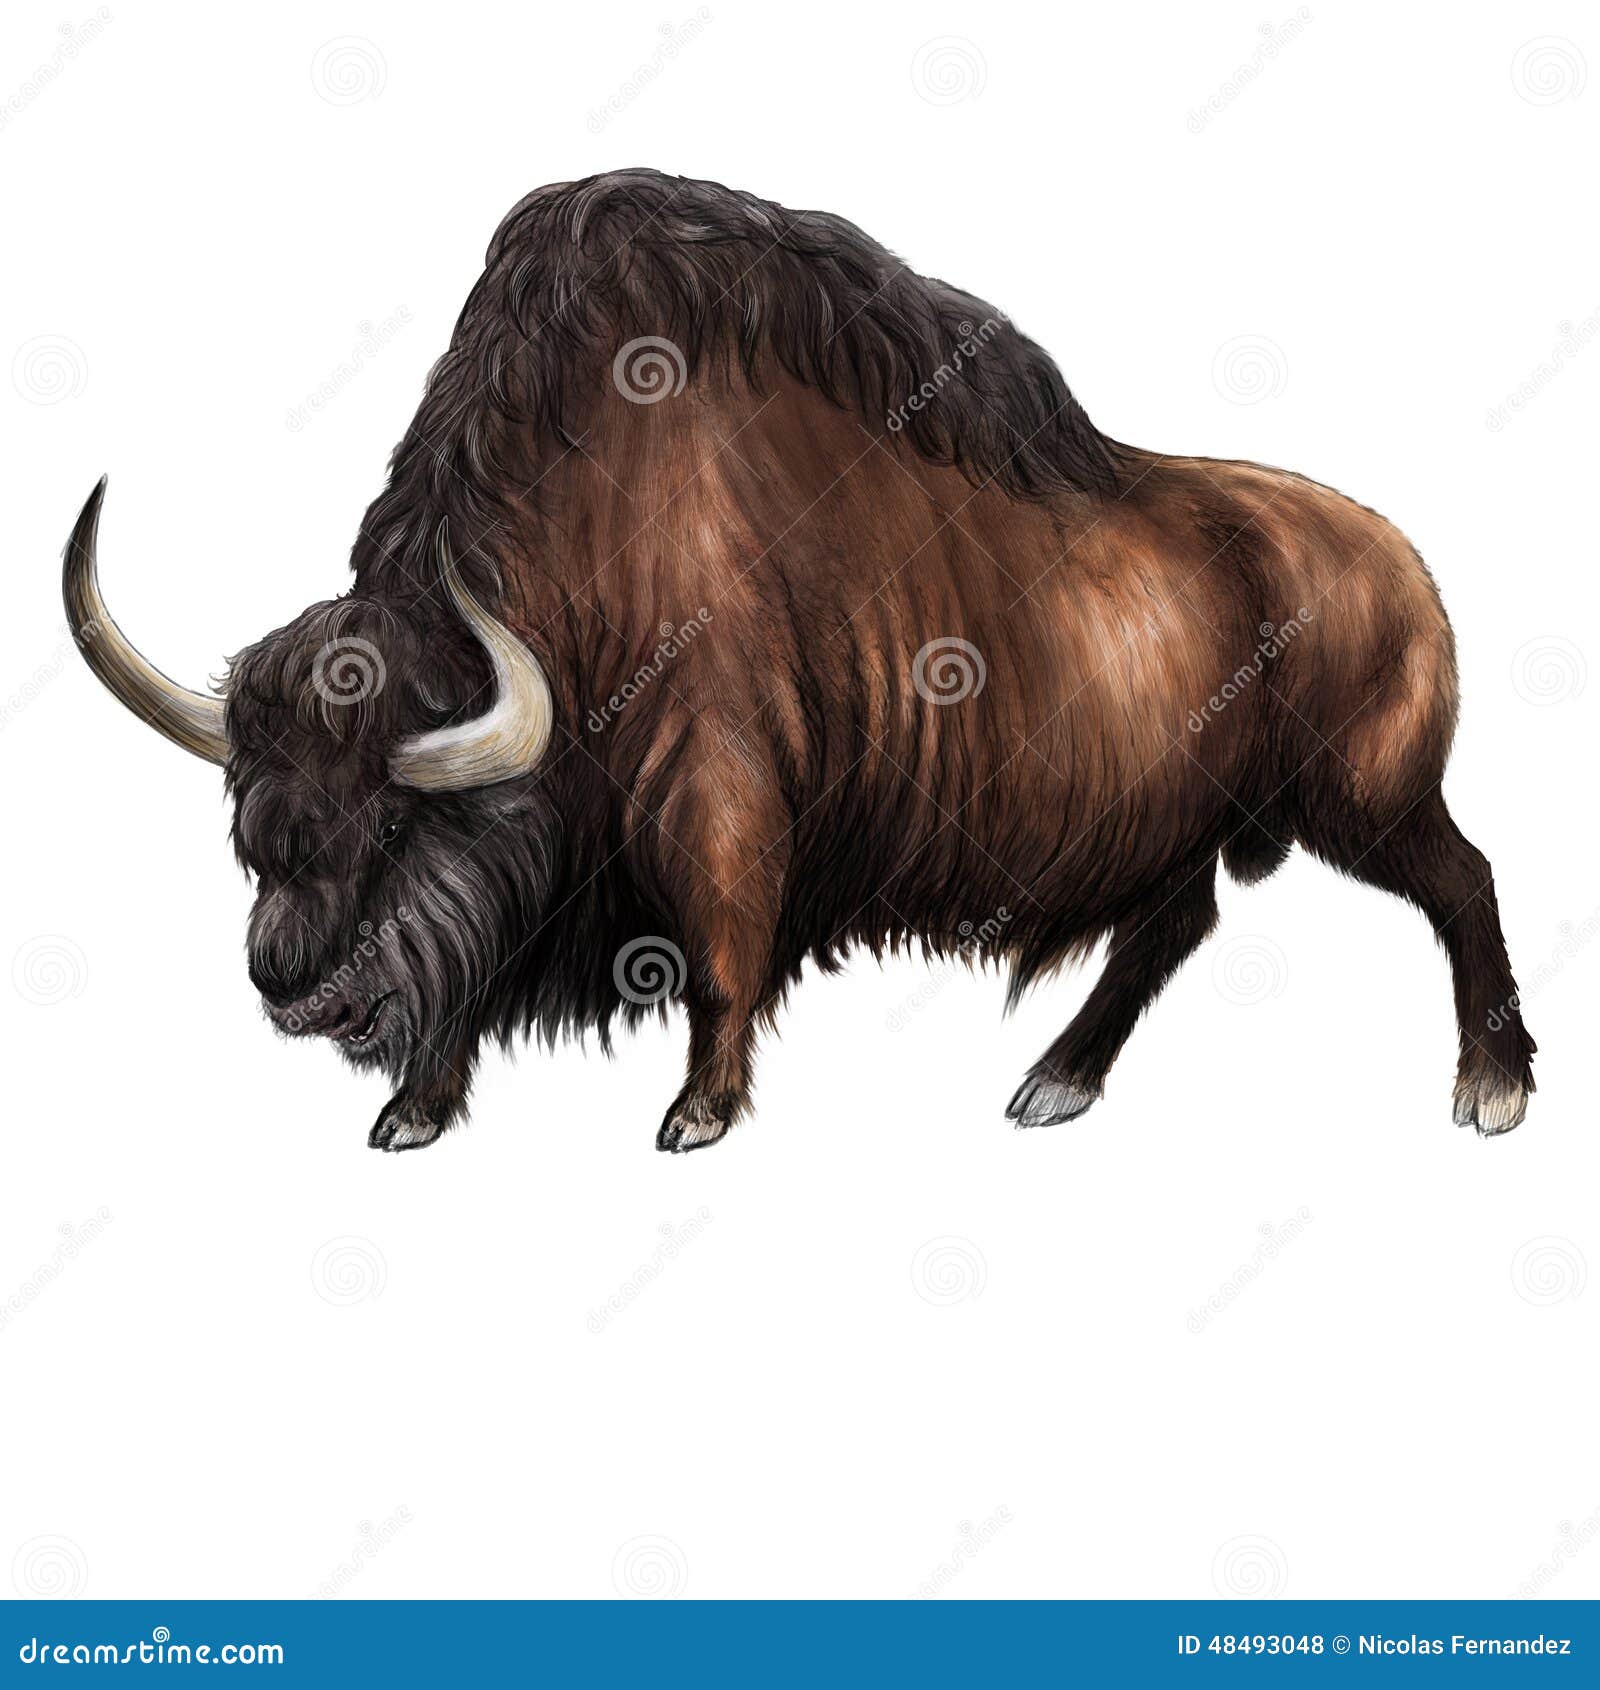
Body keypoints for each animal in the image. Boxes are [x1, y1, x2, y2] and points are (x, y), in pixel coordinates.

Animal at [63, 168, 1534, 1152]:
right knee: (1173, 924)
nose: (288, 984)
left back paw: (1494, 1089)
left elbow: (721, 955)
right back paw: (1052, 1084)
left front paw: (695, 1116)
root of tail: (1400, 564)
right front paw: (412, 1117)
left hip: (1364, 797)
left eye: (390, 820)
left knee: (1461, 878)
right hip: (1194, 818)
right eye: (251, 829)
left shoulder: (716, 800)